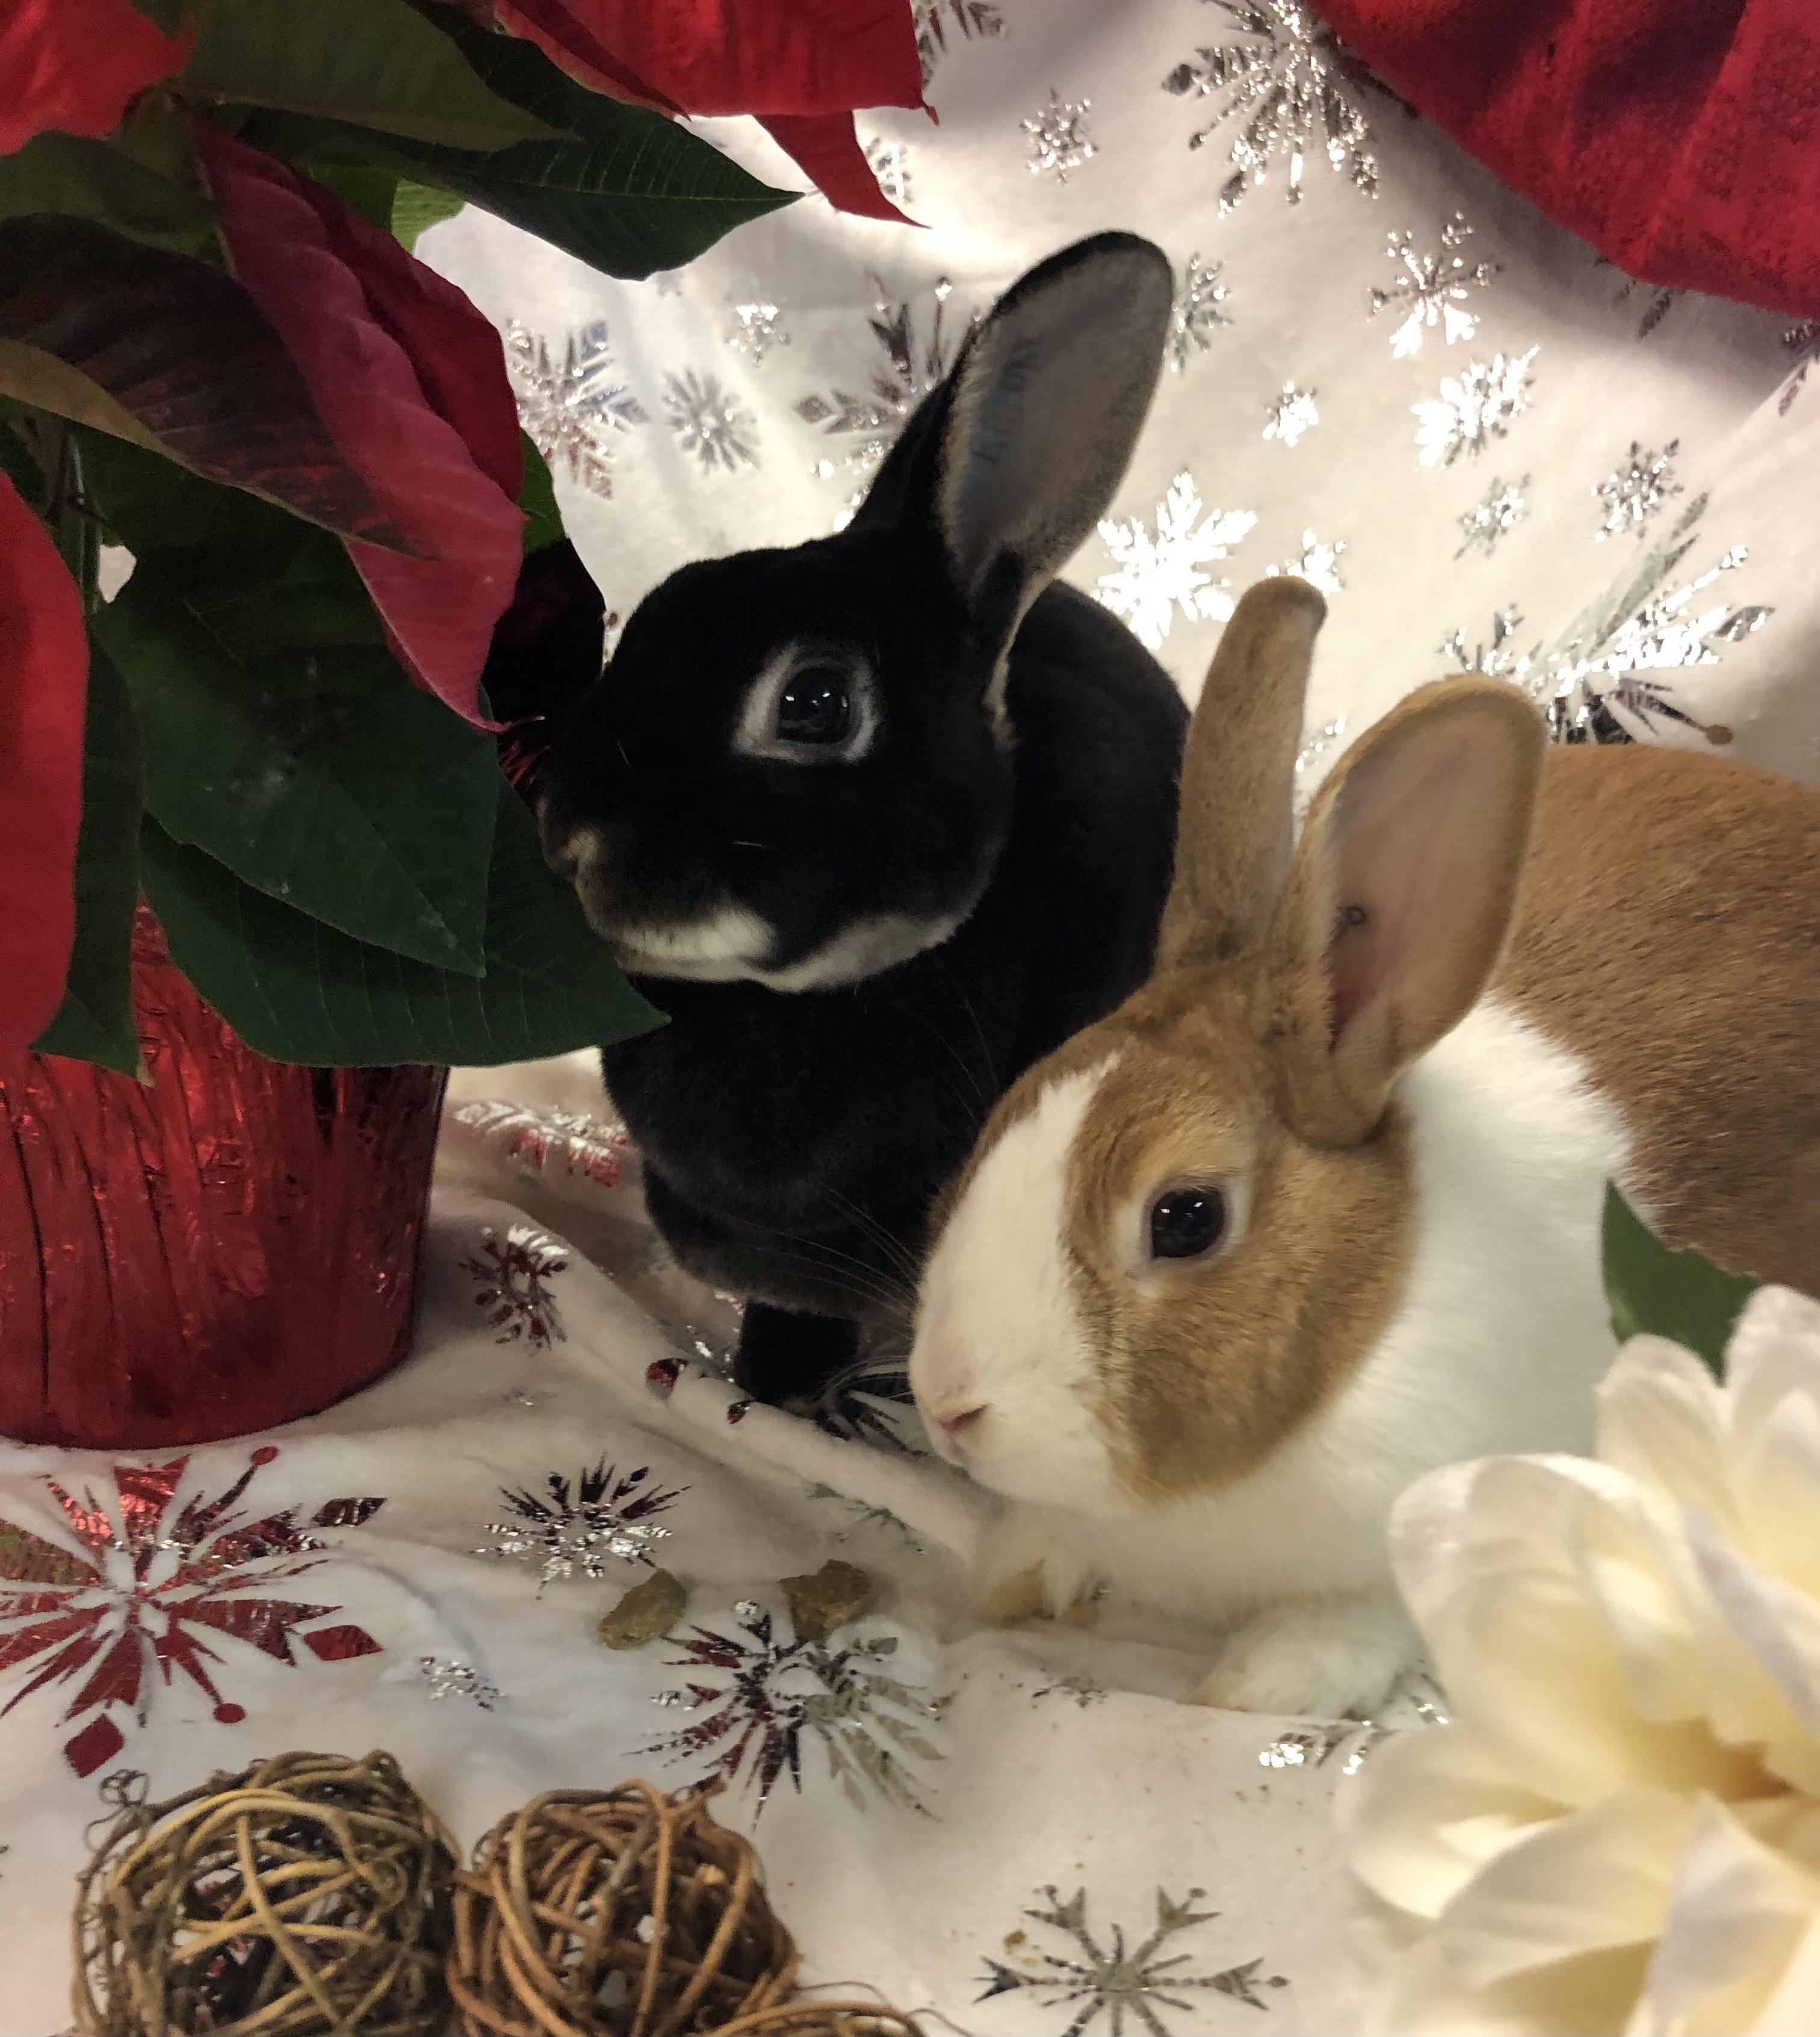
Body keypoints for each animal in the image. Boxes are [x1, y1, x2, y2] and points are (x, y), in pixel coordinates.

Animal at [908, 573, 1820, 1720]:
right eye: (1003, 1120)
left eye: (1184, 1219)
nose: (945, 1404)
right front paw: (1020, 1570)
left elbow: (1357, 1617)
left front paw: (1257, 1681)